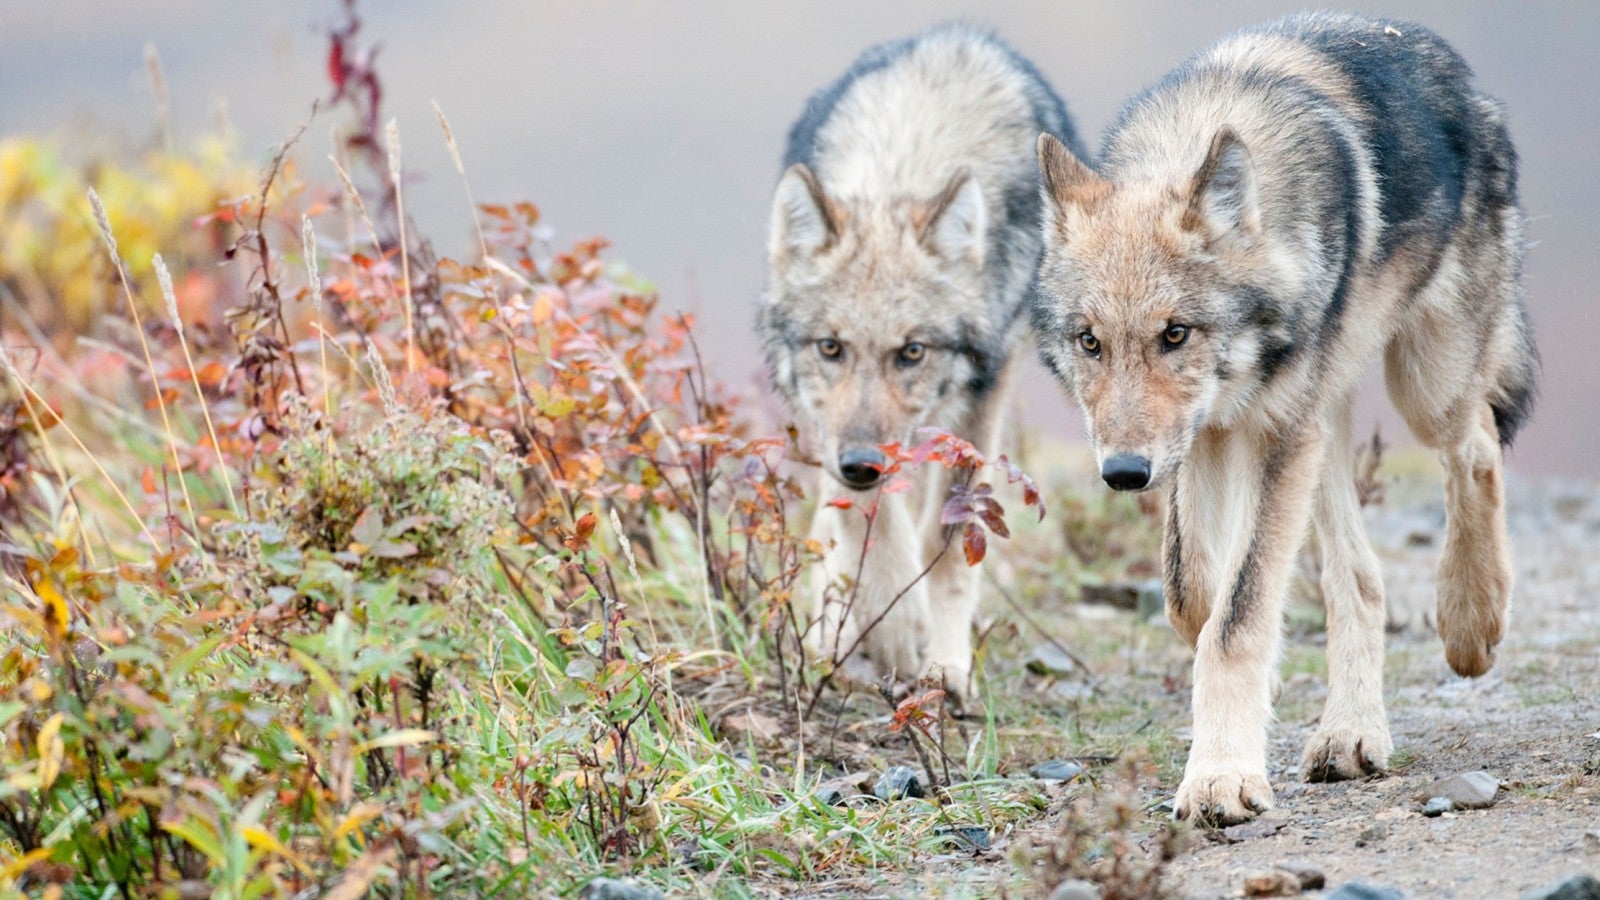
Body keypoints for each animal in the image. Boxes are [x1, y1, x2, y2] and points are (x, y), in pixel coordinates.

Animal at [760, 24, 1083, 698]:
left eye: (912, 352)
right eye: (831, 347)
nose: (861, 464)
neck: (905, 156)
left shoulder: (985, 390)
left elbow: (949, 536)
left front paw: (945, 663)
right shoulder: (833, 423)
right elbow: (866, 521)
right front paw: (894, 626)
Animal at [1031, 12, 1535, 823]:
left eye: (1175, 334)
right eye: (1089, 342)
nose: (1123, 474)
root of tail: (1458, 72)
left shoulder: (1270, 432)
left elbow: (1235, 621)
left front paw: (1221, 778)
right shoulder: (1209, 435)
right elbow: (1193, 596)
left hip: (1421, 386)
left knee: (1477, 450)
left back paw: (1471, 624)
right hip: (1320, 422)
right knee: (1359, 577)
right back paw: (1352, 735)